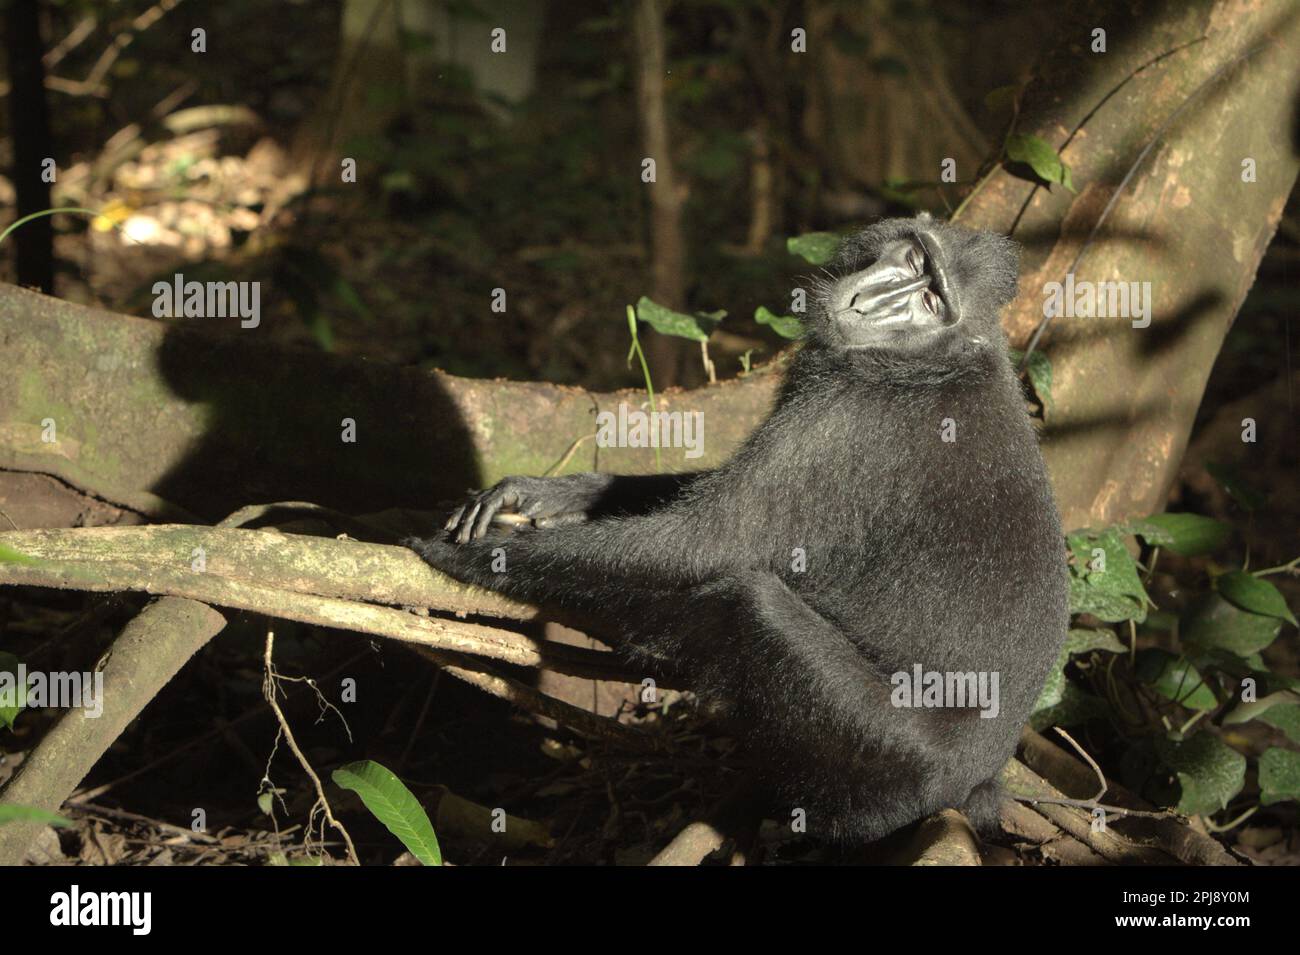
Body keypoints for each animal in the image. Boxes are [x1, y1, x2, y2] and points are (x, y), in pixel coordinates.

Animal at [406, 213, 1070, 845]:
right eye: (912, 260)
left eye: (932, 300)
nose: (871, 303)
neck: (936, 357)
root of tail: (977, 778)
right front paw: (546, 495)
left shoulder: (853, 419)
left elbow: (711, 541)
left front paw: (475, 560)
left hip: (893, 757)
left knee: (749, 600)